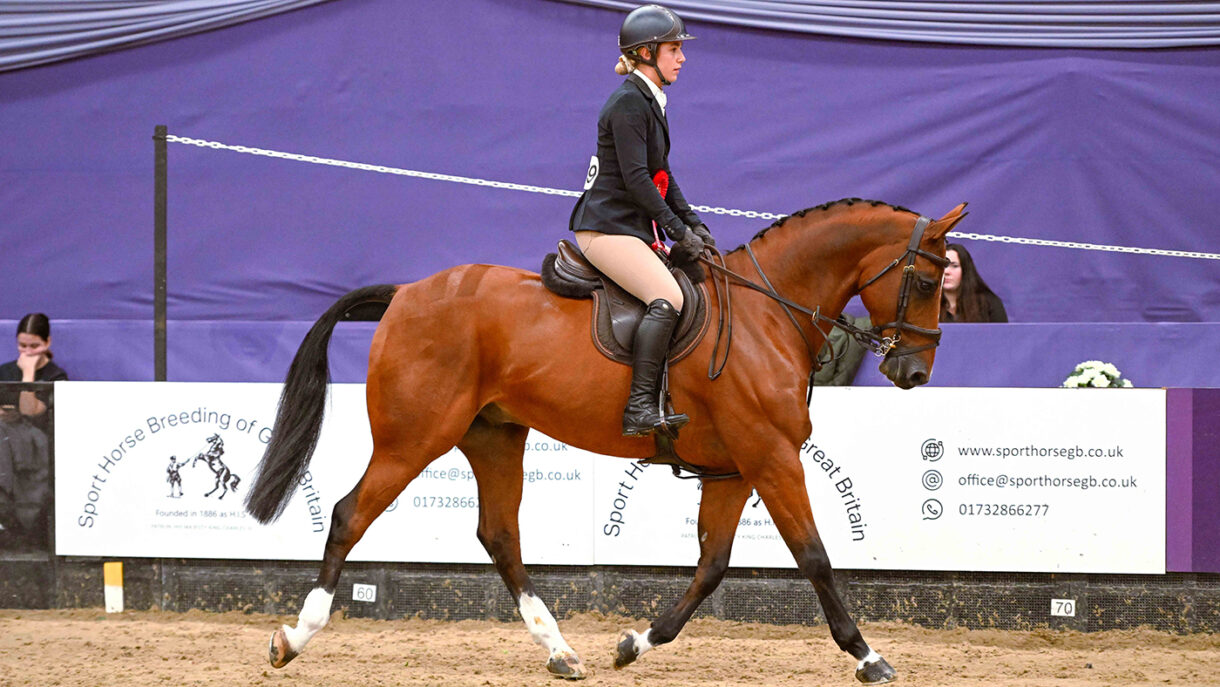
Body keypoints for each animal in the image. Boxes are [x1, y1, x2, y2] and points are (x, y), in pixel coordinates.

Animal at [245, 198, 966, 684]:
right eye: (929, 282)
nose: (915, 373)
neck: (770, 314)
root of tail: (404, 295)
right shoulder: (771, 456)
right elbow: (814, 557)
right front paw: (869, 656)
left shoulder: (735, 469)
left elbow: (711, 566)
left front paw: (636, 642)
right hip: (413, 437)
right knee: (349, 515)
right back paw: (293, 637)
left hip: (495, 436)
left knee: (499, 535)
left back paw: (562, 651)